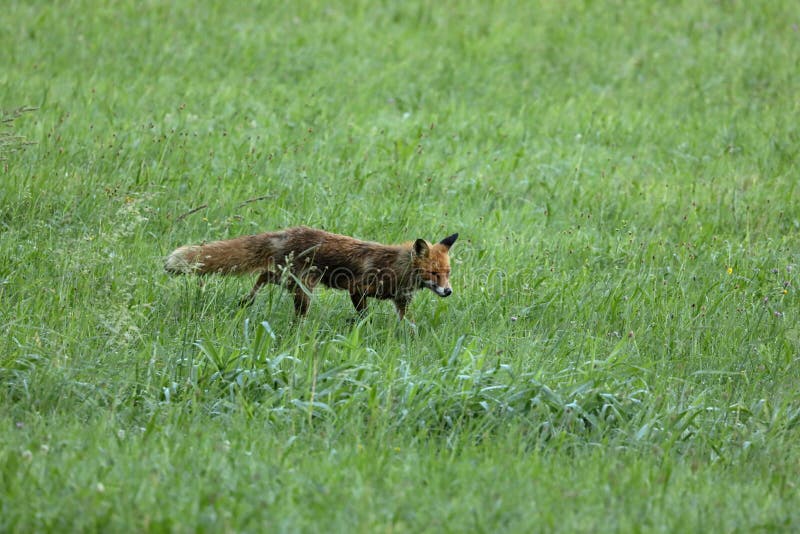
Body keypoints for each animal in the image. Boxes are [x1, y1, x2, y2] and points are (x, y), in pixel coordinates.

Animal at [165, 226, 458, 320]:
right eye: (433, 273)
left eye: (447, 273)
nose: (448, 292)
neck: (399, 268)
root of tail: (287, 232)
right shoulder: (358, 289)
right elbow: (363, 316)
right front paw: (361, 328)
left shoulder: (401, 301)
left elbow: (408, 325)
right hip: (304, 289)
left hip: (291, 280)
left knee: (264, 275)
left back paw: (247, 300)